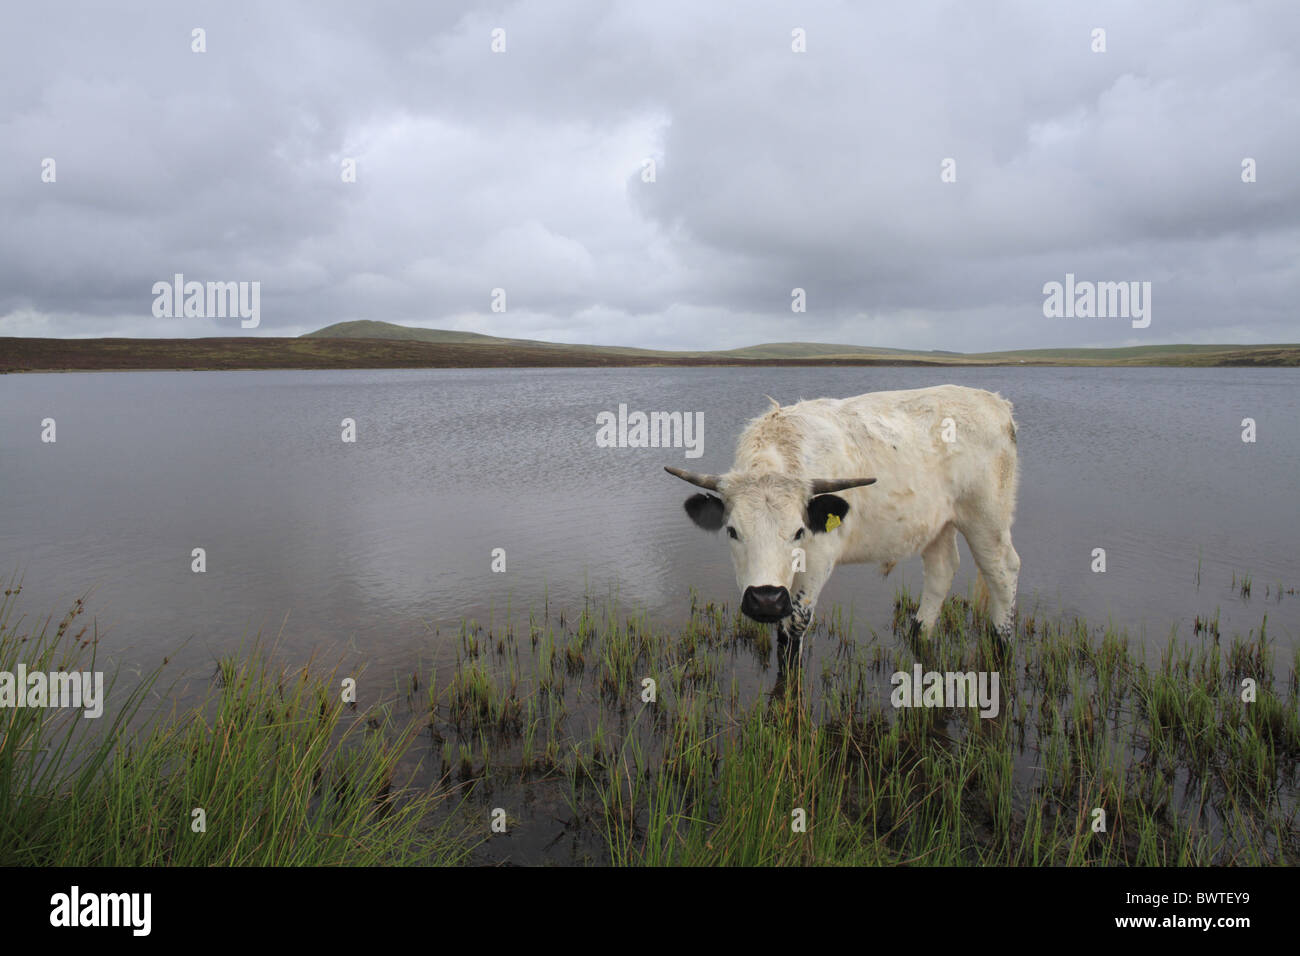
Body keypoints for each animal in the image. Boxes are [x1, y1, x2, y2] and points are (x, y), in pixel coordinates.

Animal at [665, 385, 1020, 654]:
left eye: (799, 531)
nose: (765, 600)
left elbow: (795, 625)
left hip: (987, 518)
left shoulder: (818, 559)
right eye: (732, 531)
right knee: (941, 570)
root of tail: (995, 402)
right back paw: (919, 631)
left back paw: (1002, 642)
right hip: (937, 523)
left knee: (1002, 570)